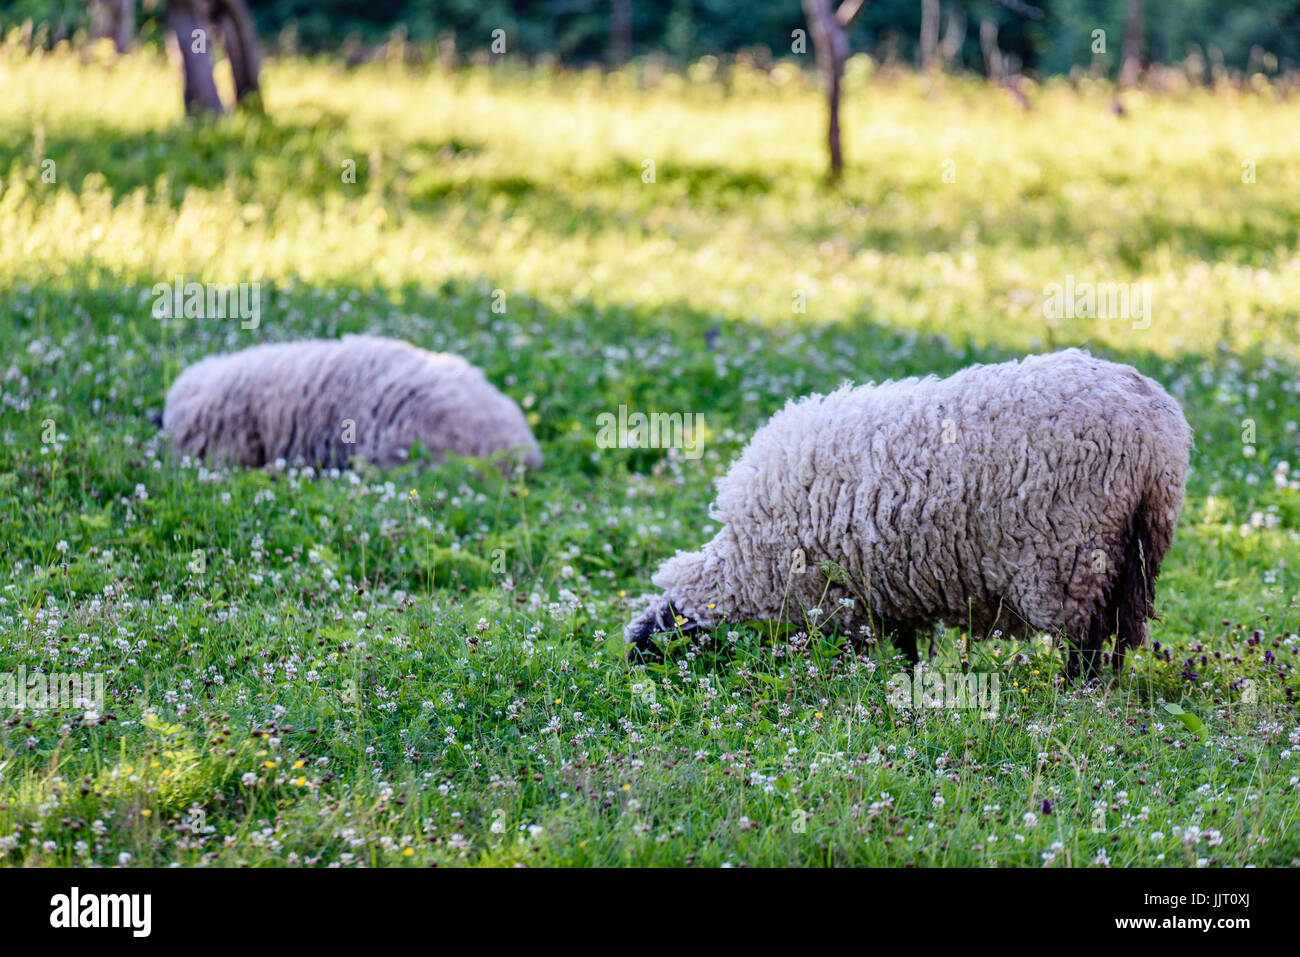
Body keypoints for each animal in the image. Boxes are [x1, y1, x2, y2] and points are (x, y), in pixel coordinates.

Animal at [626, 349, 1191, 681]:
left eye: (655, 646)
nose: (628, 671)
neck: (746, 566)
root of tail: (1157, 424)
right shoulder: (890, 585)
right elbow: (905, 646)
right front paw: (910, 675)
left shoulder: (843, 593)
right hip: (1134, 552)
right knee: (1118, 632)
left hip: (1074, 553)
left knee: (1087, 636)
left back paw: (1076, 687)